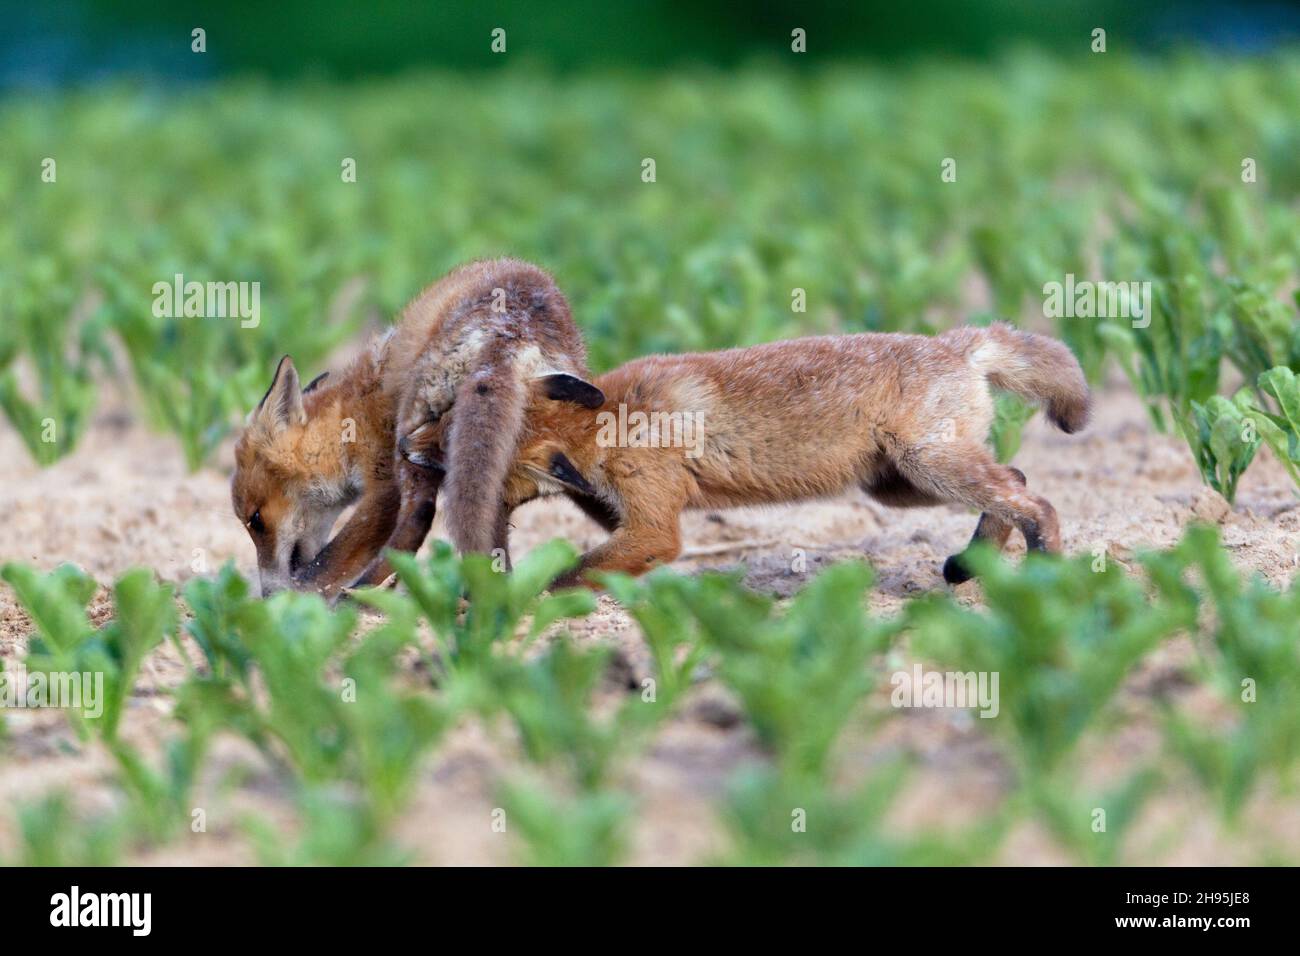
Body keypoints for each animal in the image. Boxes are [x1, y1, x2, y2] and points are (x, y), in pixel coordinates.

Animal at [230, 258, 602, 597]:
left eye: (256, 520)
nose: (268, 593)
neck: (354, 409)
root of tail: (512, 330)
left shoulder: (382, 483)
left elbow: (329, 561)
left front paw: (297, 603)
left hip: (413, 438)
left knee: (419, 514)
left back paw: (361, 597)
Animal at [401, 323, 1090, 589]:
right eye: (445, 418)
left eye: (453, 444)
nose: (406, 446)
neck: (613, 418)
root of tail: (958, 340)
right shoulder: (629, 506)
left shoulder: (654, 524)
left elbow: (576, 571)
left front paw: (531, 603)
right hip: (896, 484)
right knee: (1015, 478)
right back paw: (974, 564)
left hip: (929, 467)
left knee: (1037, 501)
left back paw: (1047, 574)